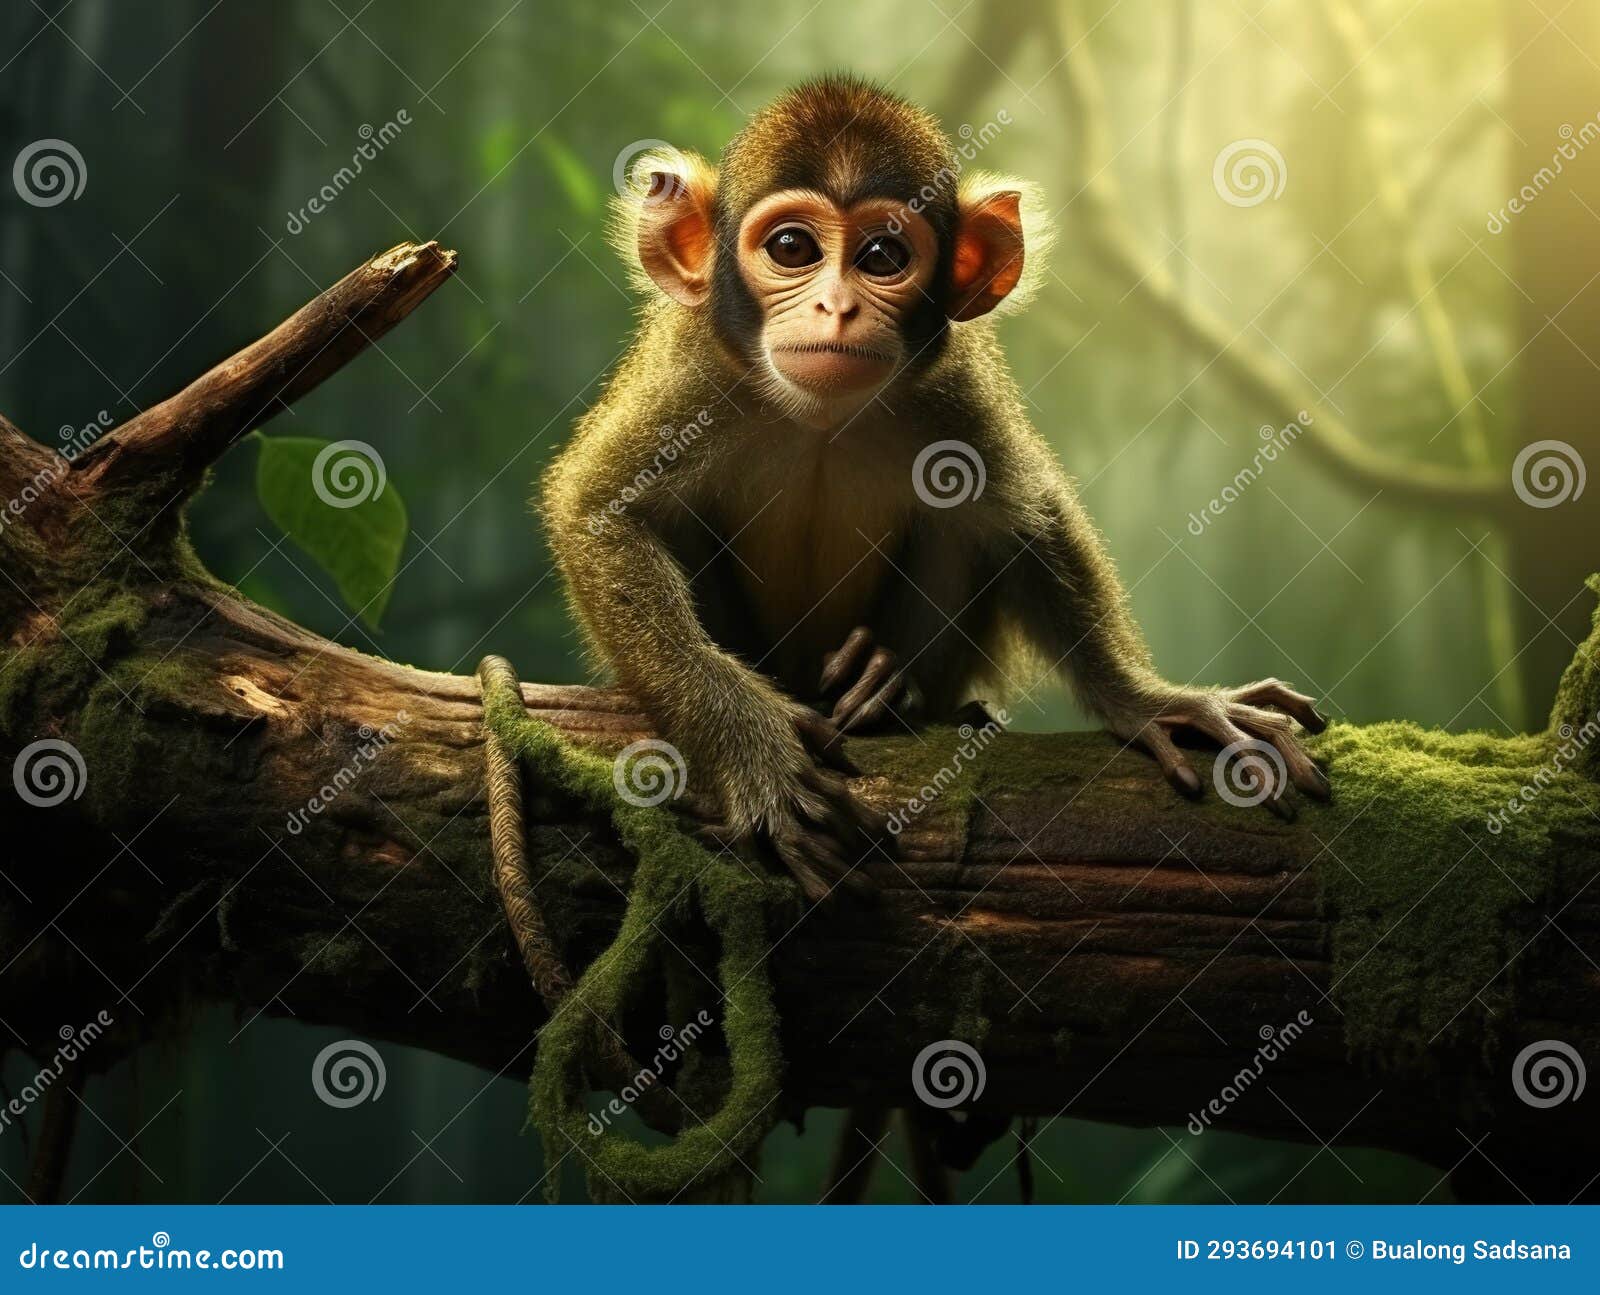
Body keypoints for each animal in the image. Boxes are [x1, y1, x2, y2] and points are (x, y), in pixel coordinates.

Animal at [542, 76, 1329, 902]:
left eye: (884, 256)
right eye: (791, 248)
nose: (837, 307)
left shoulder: (956, 388)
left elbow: (1028, 512)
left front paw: (1146, 697)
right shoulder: (695, 370)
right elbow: (600, 512)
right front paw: (751, 746)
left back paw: (892, 685)